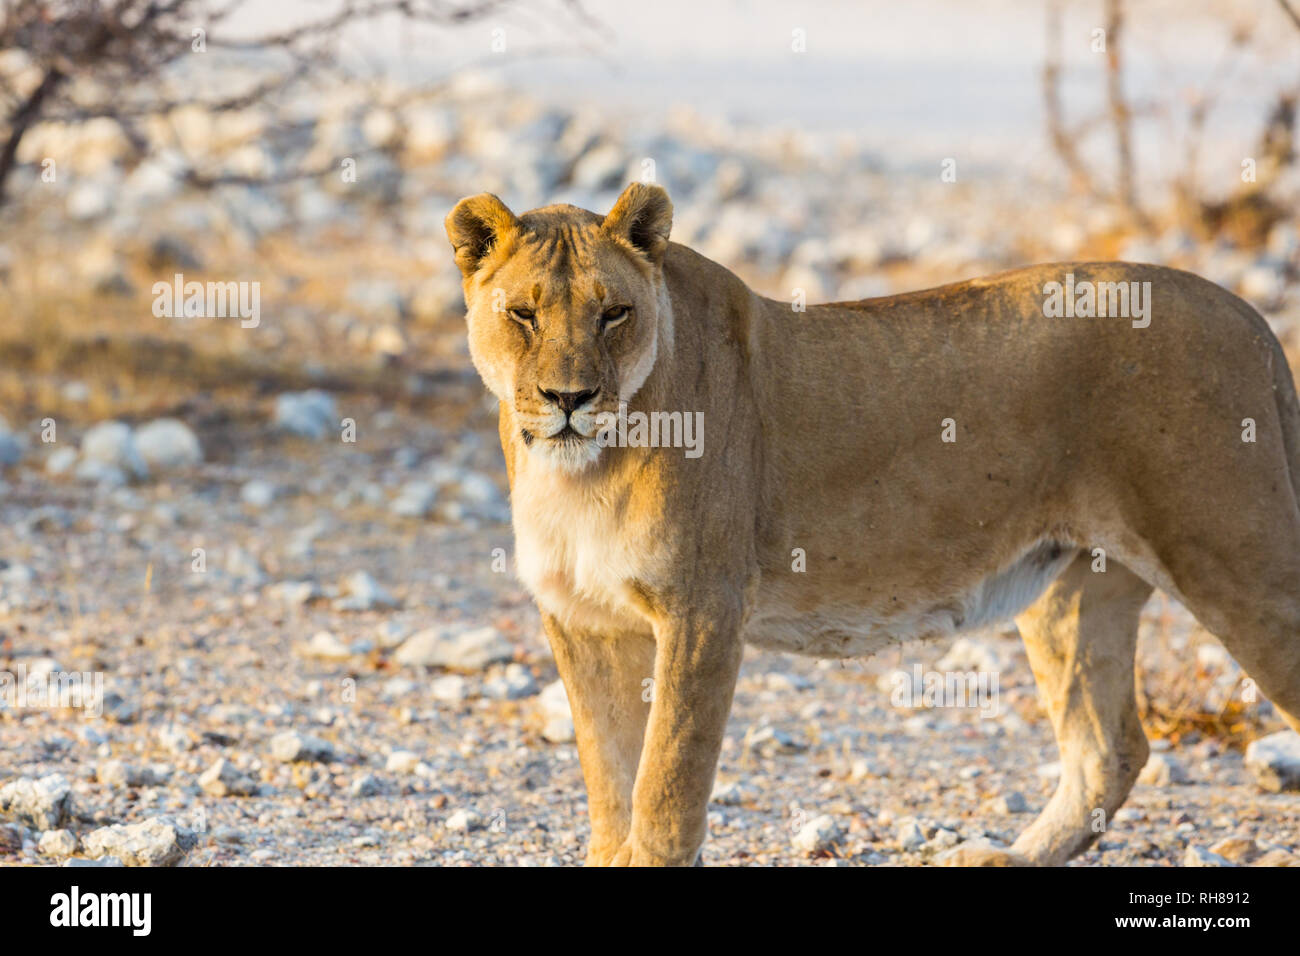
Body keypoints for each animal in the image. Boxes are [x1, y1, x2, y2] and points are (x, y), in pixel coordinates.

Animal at [446, 182, 1300, 866]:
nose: (569, 398)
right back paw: (1001, 858)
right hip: (1078, 584)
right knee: (1111, 747)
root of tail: (1249, 317)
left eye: (615, 313)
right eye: (522, 313)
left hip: (1236, 558)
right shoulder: (583, 619)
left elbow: (664, 788)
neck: (579, 474)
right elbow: (609, 783)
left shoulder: (701, 609)